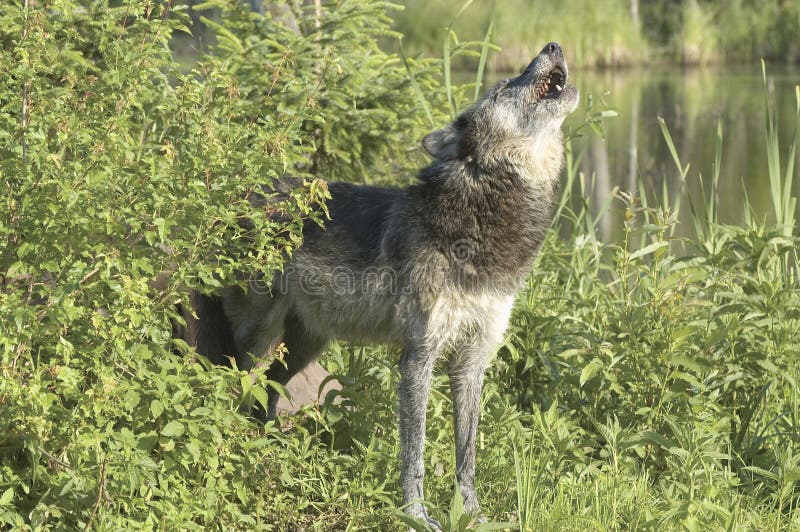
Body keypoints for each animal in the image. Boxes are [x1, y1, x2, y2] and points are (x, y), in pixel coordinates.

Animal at [180, 42, 578, 526]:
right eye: (504, 86)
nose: (553, 46)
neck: (482, 217)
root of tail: (234, 206)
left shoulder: (473, 359)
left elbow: (467, 454)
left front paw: (473, 515)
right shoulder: (418, 357)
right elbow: (415, 452)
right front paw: (415, 515)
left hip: (304, 345)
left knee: (267, 397)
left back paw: (272, 451)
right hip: (258, 341)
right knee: (241, 392)